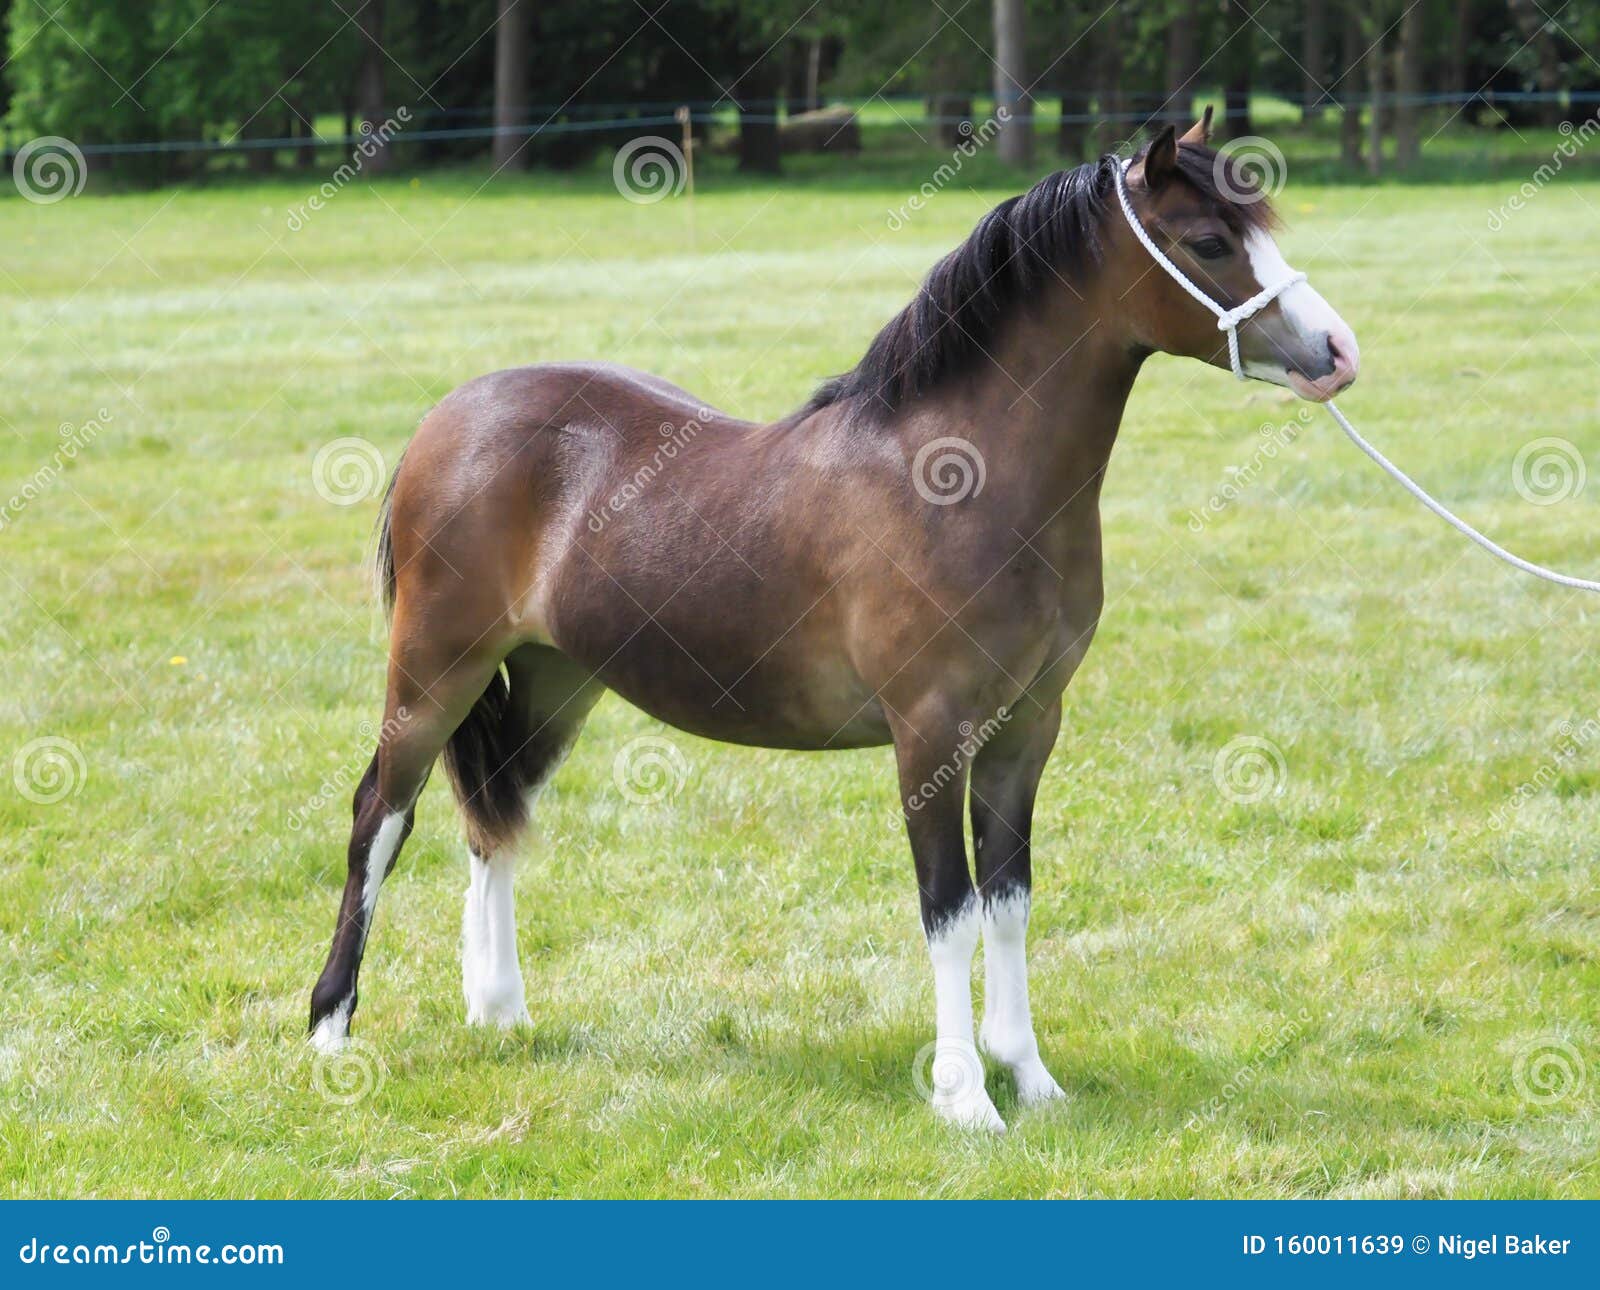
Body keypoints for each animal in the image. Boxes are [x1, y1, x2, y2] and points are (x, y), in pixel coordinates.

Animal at [308, 112, 1358, 1132]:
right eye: (1211, 240)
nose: (1338, 354)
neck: (959, 477)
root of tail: (449, 418)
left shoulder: (1025, 731)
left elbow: (1010, 903)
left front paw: (1031, 1078)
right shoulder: (929, 735)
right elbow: (950, 911)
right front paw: (966, 1098)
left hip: (554, 680)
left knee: (493, 819)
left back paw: (500, 1011)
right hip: (433, 672)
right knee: (381, 817)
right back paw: (329, 1030)